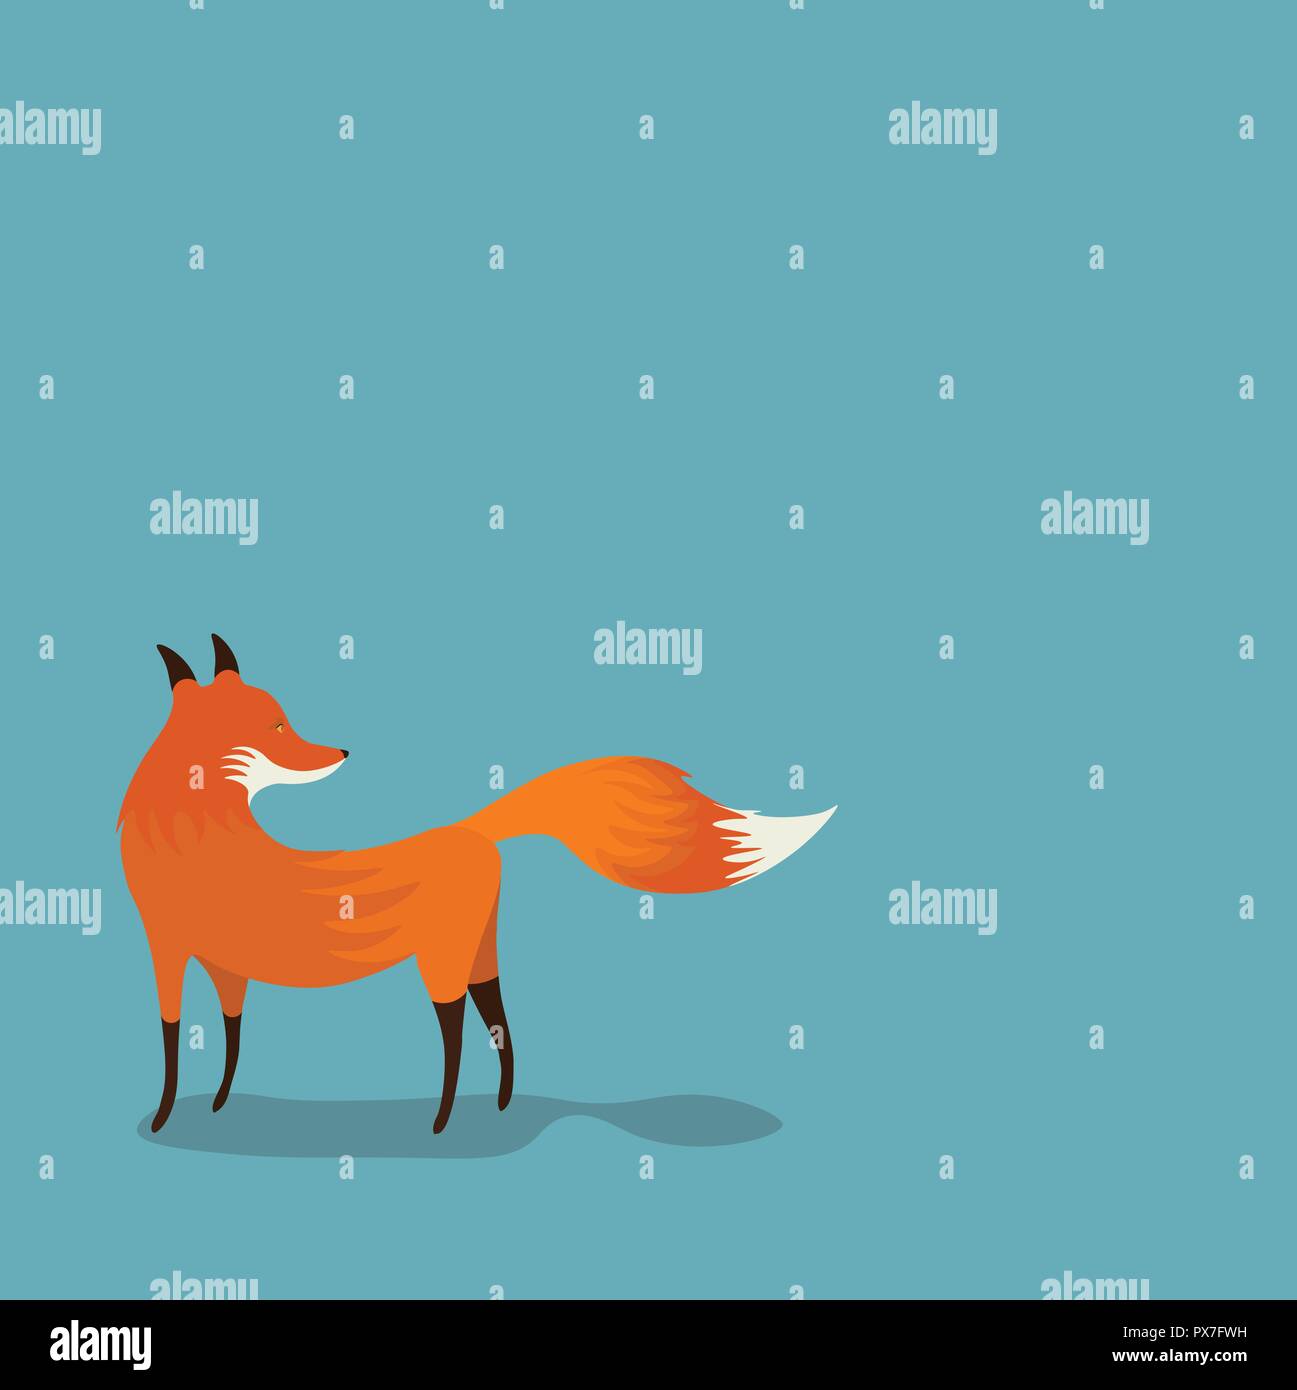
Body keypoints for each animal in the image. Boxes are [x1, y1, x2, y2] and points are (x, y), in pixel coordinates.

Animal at [119, 635, 836, 1135]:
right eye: (273, 726)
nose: (343, 752)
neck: (196, 837)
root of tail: (471, 830)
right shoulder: (215, 963)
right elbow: (228, 1036)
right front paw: (215, 1104)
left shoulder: (170, 952)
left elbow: (173, 1038)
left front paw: (164, 1115)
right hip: (480, 953)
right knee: (500, 1022)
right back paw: (498, 1106)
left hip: (440, 961)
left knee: (457, 1030)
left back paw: (440, 1123)